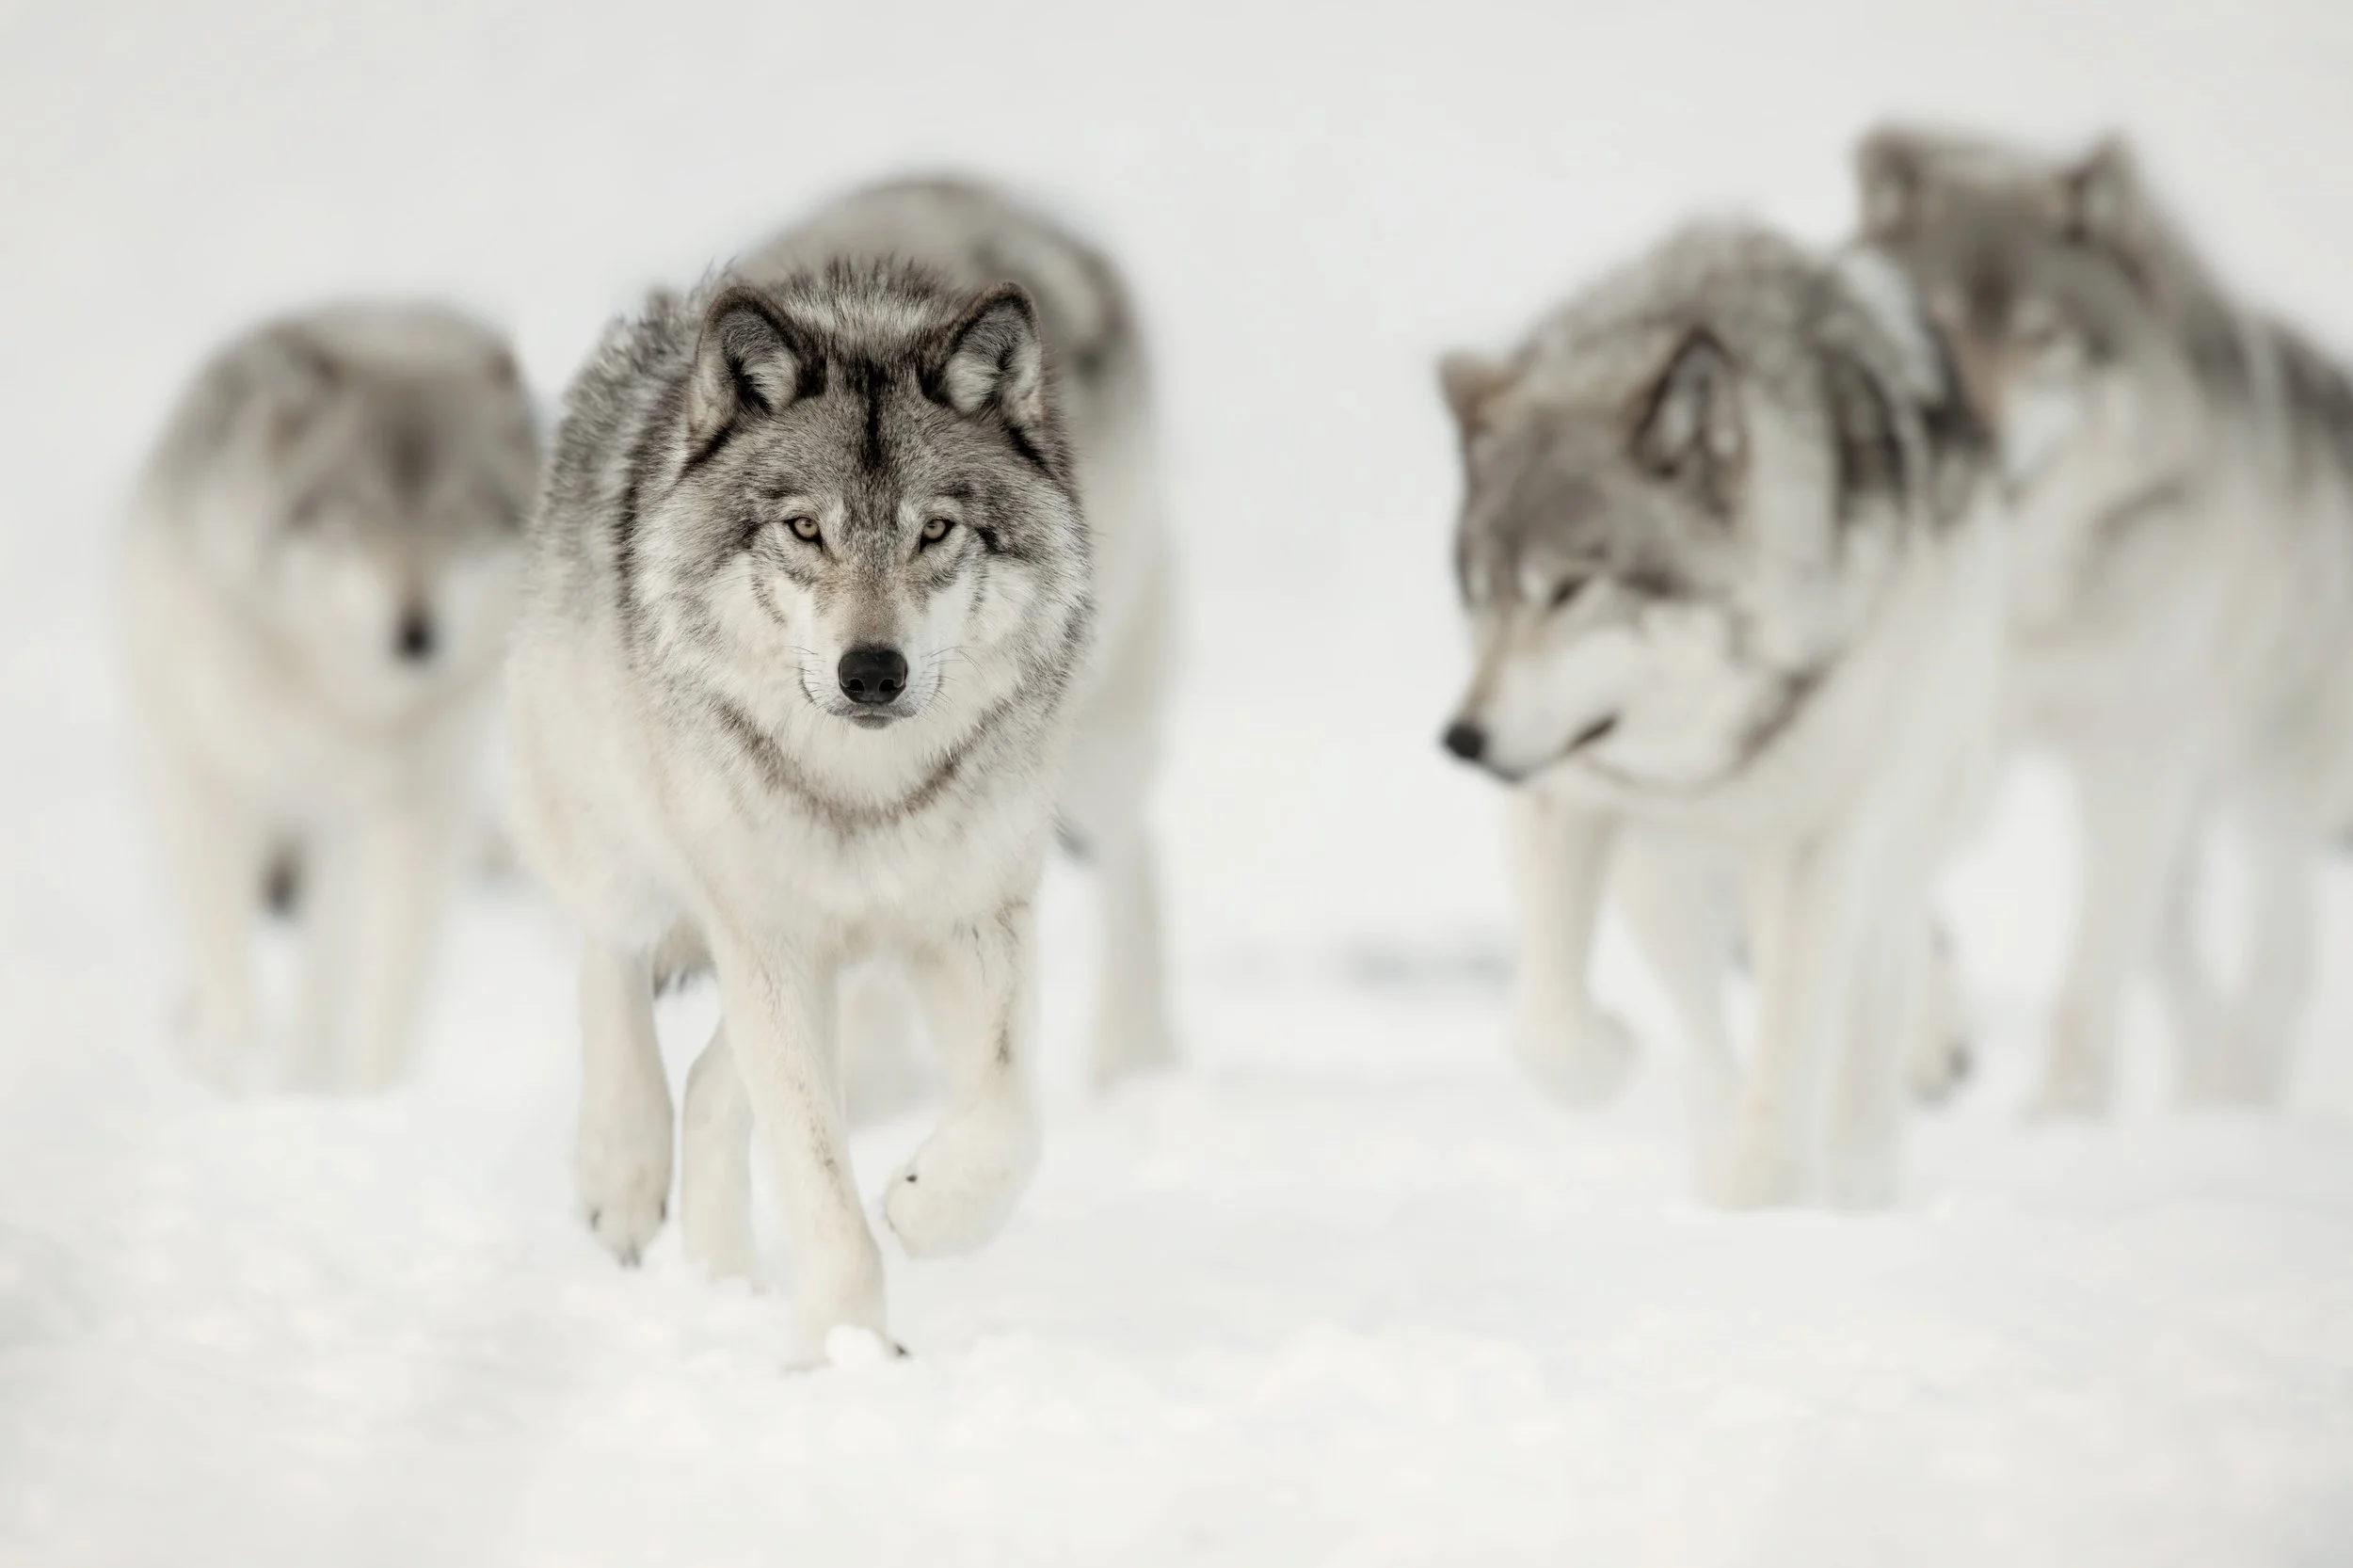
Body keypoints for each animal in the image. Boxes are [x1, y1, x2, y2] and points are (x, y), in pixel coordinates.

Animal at [121, 304, 538, 1093]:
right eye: (358, 514)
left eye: (458, 516)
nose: (417, 636)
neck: (340, 699)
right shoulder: (208, 781)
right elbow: (226, 955)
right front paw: (224, 1071)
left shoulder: (380, 819)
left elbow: (361, 990)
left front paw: (340, 1094)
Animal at [507, 180, 1111, 1362]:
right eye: (804, 529)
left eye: (935, 530)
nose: (870, 671)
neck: (864, 791)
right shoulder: (768, 937)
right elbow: (821, 1179)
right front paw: (843, 1348)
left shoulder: (971, 915)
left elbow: (1010, 1116)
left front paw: (927, 1209)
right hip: (625, 834)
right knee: (612, 956)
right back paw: (622, 1170)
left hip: (835, 962)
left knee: (711, 1088)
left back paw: (722, 1281)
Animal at [1438, 225, 2005, 1206]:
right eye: (1481, 593)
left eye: (1570, 588)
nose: (1462, 740)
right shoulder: (1571, 792)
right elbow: (1545, 1029)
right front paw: (1612, 1057)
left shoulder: (1816, 840)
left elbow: (1797, 1029)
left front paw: (1773, 1192)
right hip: (1663, 878)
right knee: (1705, 1025)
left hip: (1893, 831)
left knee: (1875, 994)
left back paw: (1859, 1173)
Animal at [1857, 129, 2353, 1112]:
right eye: (1931, 325)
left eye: (2042, 339)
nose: (1975, 432)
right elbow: (1910, 913)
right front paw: (1928, 1044)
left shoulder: (2129, 761)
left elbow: (2086, 990)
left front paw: (2060, 1126)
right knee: (2183, 967)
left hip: (2259, 781)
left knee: (2281, 955)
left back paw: (2232, 1098)